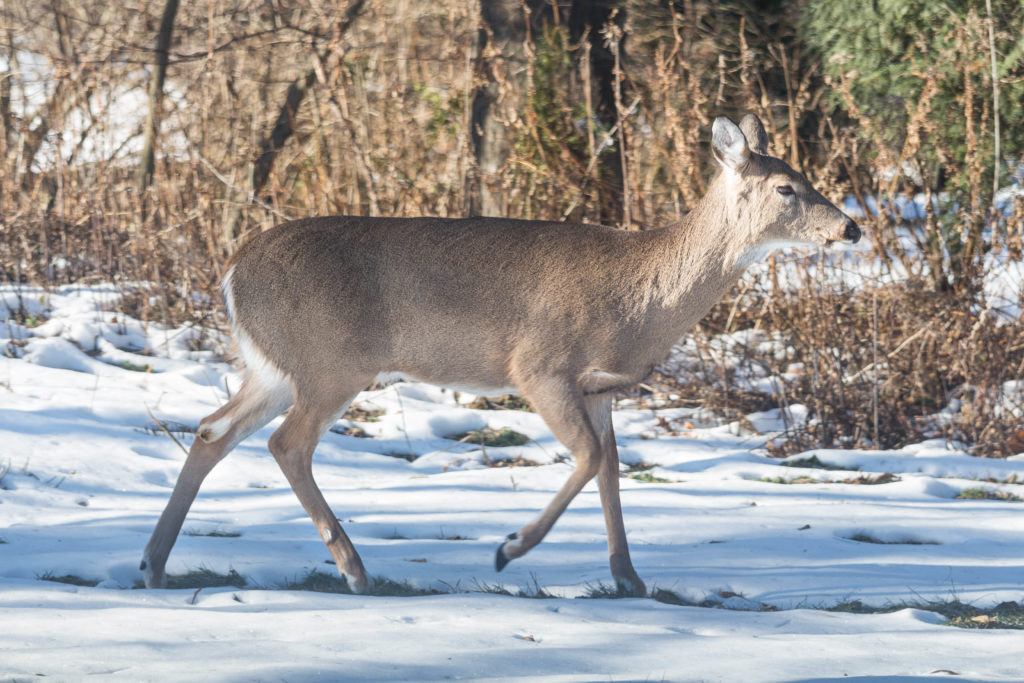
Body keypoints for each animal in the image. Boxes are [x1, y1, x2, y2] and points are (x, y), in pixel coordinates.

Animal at [140, 114, 860, 596]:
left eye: (806, 177)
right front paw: (509, 548)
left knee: (212, 430)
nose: (851, 227)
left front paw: (629, 577)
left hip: (274, 366)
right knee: (286, 443)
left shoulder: (601, 387)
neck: (641, 298)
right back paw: (355, 569)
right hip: (330, 361)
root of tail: (231, 271)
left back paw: (153, 563)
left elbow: (611, 467)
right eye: (787, 188)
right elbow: (589, 458)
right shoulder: (539, 365)